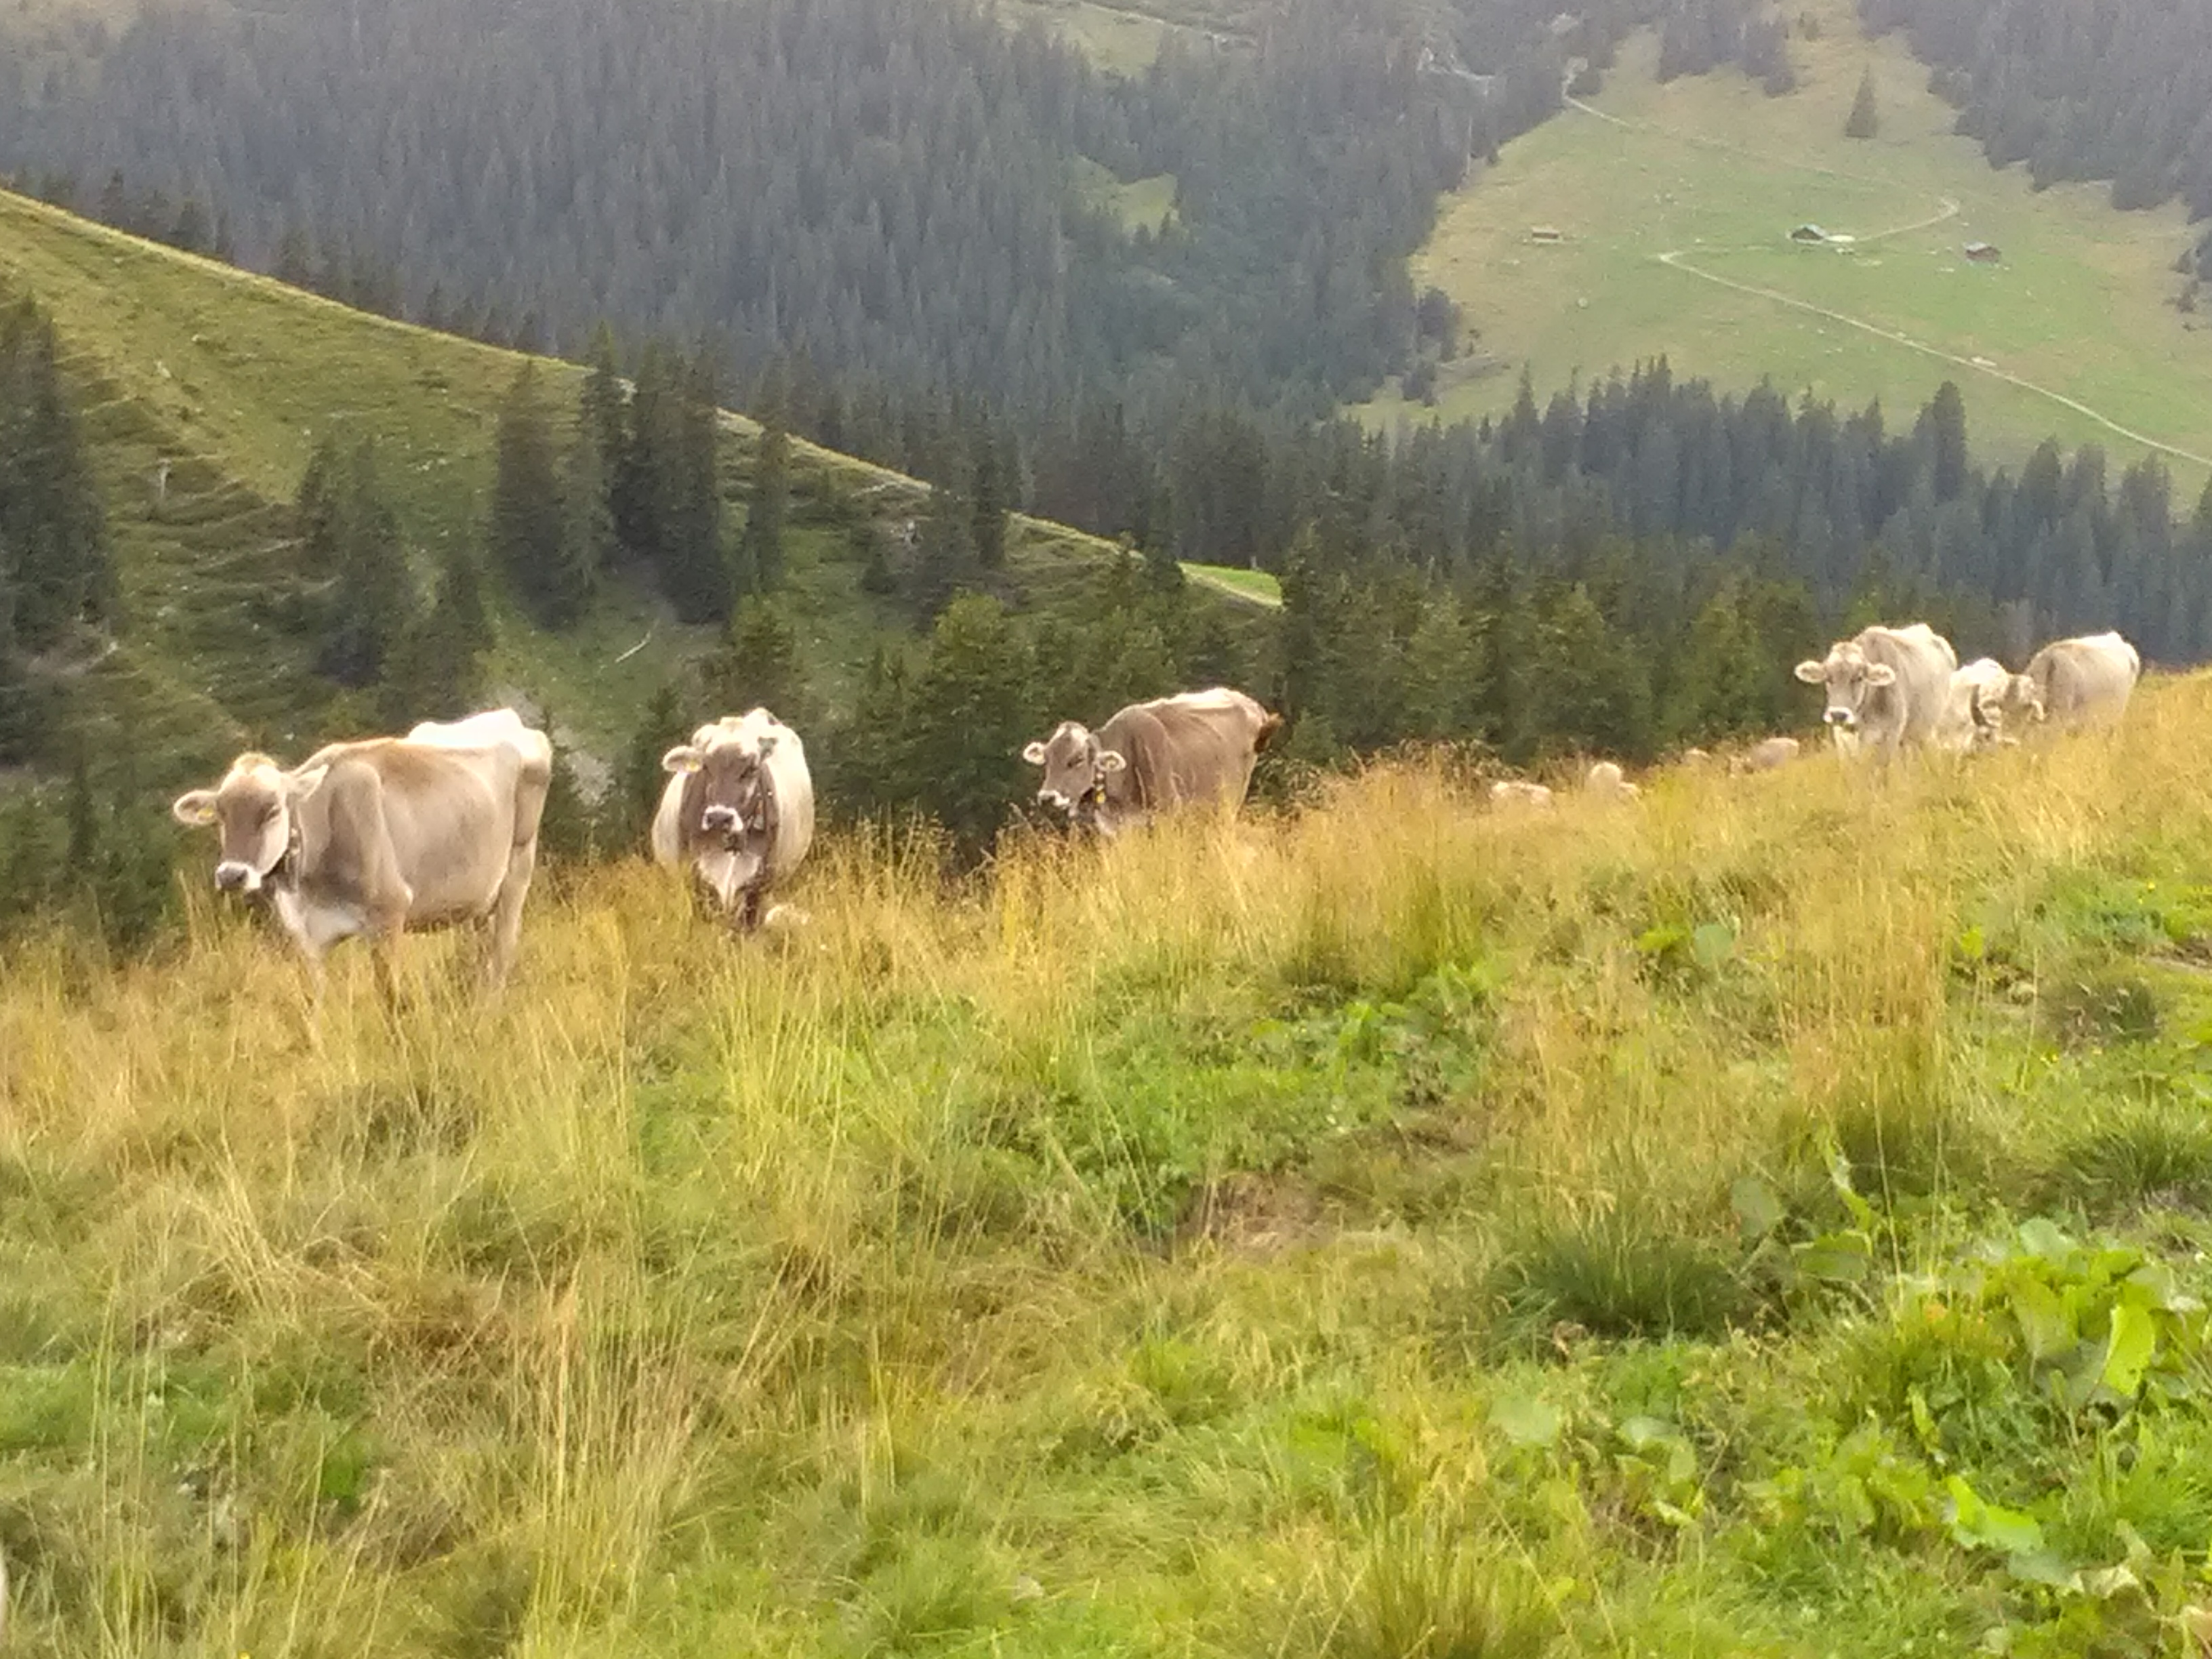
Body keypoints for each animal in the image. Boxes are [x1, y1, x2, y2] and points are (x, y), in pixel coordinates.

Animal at [169, 706, 553, 988]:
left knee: (501, 954)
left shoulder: (389, 916)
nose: (231, 876)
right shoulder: (308, 938)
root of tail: (508, 718)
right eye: (220, 814)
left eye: (273, 809)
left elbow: (391, 1001)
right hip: (474, 897)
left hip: (518, 870)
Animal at [1022, 688, 1280, 836]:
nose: (1047, 797)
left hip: (1229, 804)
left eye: (1077, 759)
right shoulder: (1115, 829)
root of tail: (1253, 705)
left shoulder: (1168, 815)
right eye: (1046, 759)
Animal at [1794, 623, 1958, 759]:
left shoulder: (1890, 735)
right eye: (1828, 679)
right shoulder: (1843, 738)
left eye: (1859, 678)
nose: (1838, 715)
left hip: (1924, 730)